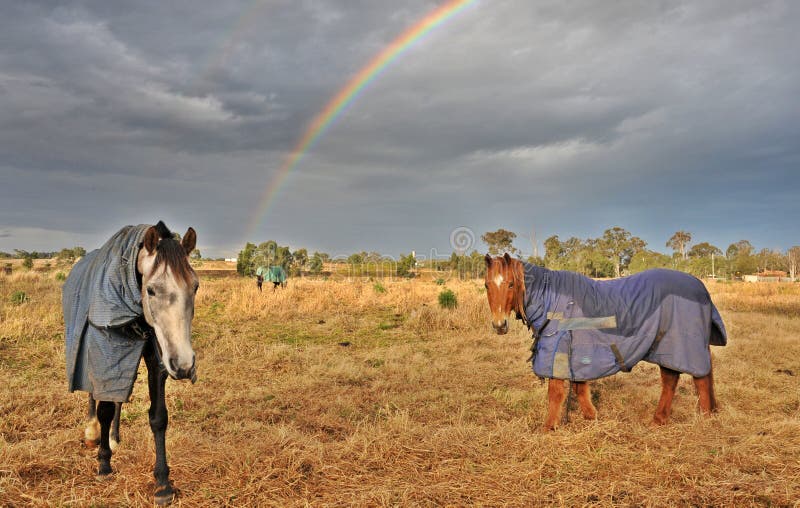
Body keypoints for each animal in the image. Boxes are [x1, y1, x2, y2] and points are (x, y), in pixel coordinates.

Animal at [63, 221, 199, 505]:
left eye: (195, 287)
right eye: (151, 290)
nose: (184, 365)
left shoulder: (157, 359)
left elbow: (158, 417)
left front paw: (163, 484)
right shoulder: (105, 351)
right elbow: (103, 407)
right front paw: (104, 465)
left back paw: (114, 438)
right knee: (94, 394)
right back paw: (93, 434)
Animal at [484, 253, 726, 430]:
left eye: (511, 284)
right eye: (487, 285)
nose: (499, 325)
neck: (552, 301)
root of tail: (699, 286)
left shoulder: (556, 352)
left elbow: (556, 393)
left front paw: (548, 428)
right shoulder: (578, 354)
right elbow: (580, 387)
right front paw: (591, 416)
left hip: (683, 348)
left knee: (697, 379)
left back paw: (703, 418)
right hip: (667, 348)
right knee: (673, 379)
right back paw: (660, 419)